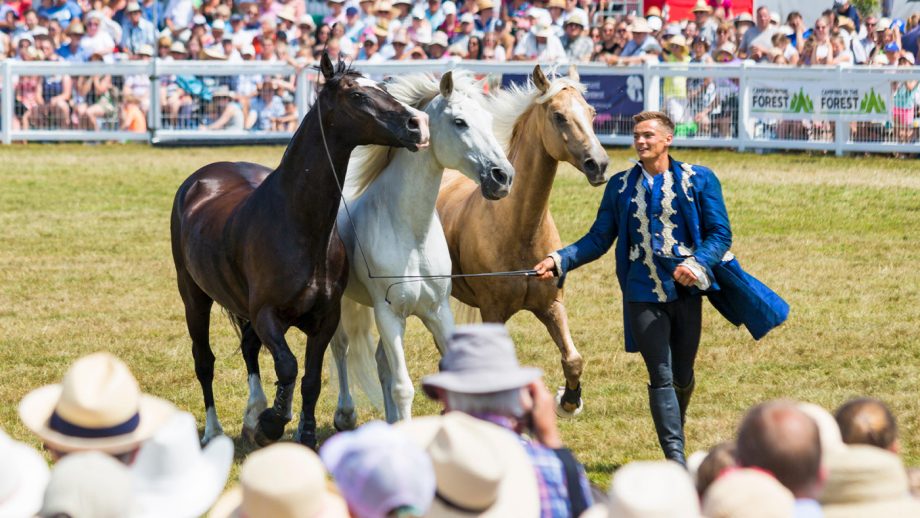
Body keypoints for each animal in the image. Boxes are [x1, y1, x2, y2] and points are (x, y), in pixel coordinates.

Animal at [170, 54, 429, 449]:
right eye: (357, 95)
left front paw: (301, 434)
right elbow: (288, 366)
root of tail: (202, 179)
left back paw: (251, 415)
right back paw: (215, 431)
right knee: (204, 360)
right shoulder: (266, 314)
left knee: (249, 349)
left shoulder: (325, 319)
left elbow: (309, 379)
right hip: (193, 296)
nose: (418, 124)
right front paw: (272, 422)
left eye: (383, 87)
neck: (298, 226)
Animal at [329, 71, 515, 428]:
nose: (503, 177)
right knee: (341, 347)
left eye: (487, 119)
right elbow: (403, 387)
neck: (411, 235)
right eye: (459, 122)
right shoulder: (389, 315)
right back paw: (345, 413)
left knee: (379, 363)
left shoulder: (438, 312)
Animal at [435, 65, 609, 417]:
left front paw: (569, 401)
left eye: (592, 112)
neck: (519, 229)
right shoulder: (493, 312)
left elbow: (573, 359)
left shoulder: (552, 305)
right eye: (558, 116)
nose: (598, 165)